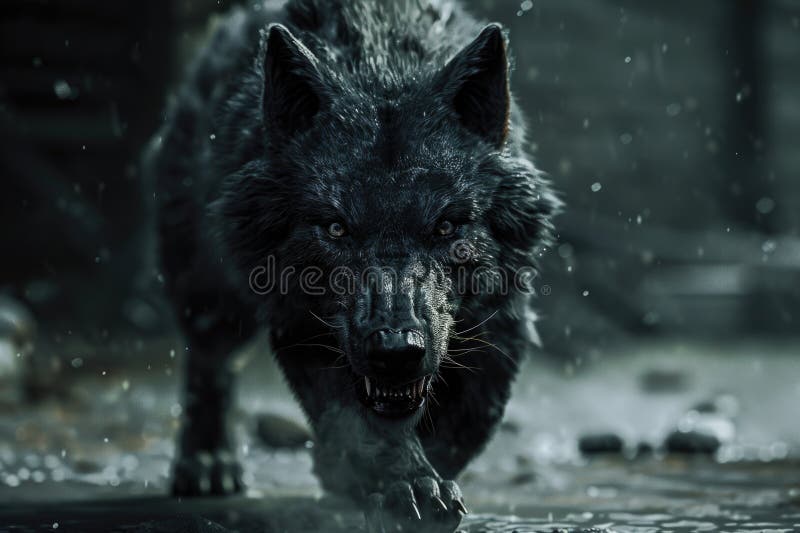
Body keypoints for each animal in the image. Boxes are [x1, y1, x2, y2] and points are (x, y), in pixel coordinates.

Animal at [146, 0, 558, 530]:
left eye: (446, 227)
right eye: (337, 228)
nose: (396, 351)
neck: (383, 68)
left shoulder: (501, 323)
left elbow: (465, 426)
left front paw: (387, 480)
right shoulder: (300, 322)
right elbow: (360, 424)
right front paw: (406, 485)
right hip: (211, 293)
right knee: (209, 360)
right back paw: (207, 462)